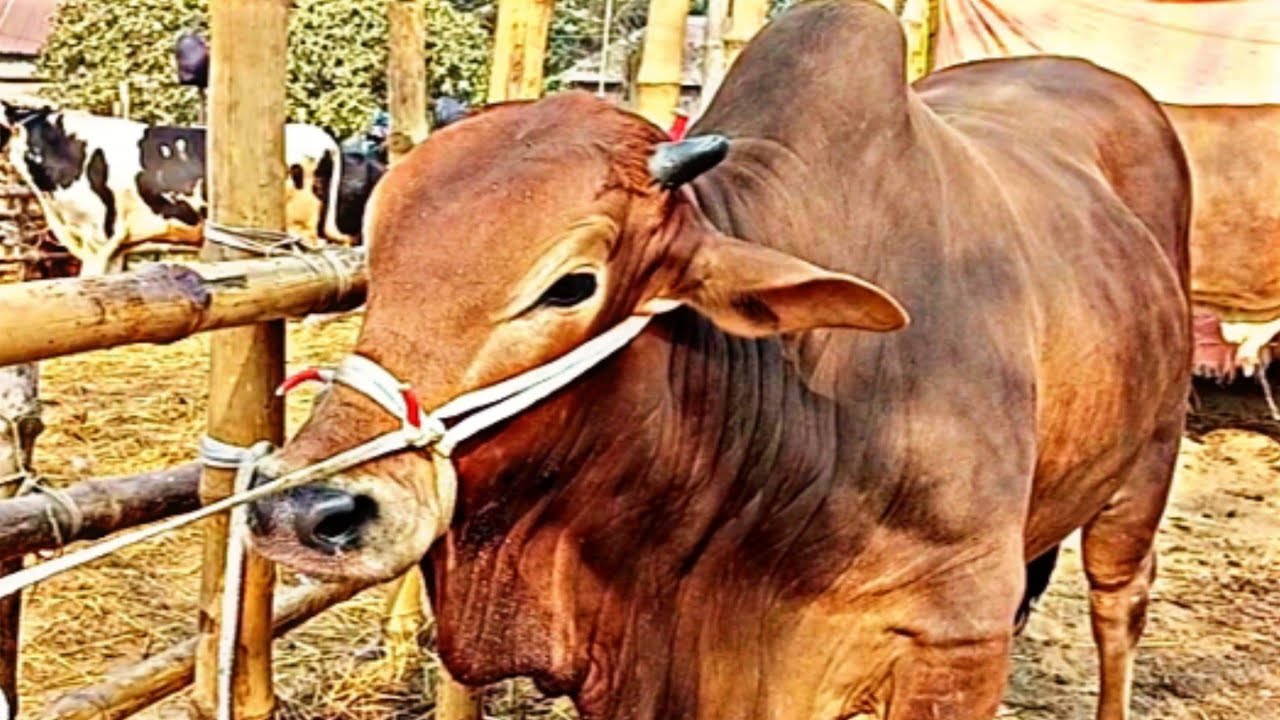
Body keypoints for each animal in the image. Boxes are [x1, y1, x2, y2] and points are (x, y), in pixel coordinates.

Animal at [246, 2, 1191, 718]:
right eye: (377, 248)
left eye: (572, 284)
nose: (307, 508)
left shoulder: (954, 645)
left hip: (1143, 471)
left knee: (1120, 604)